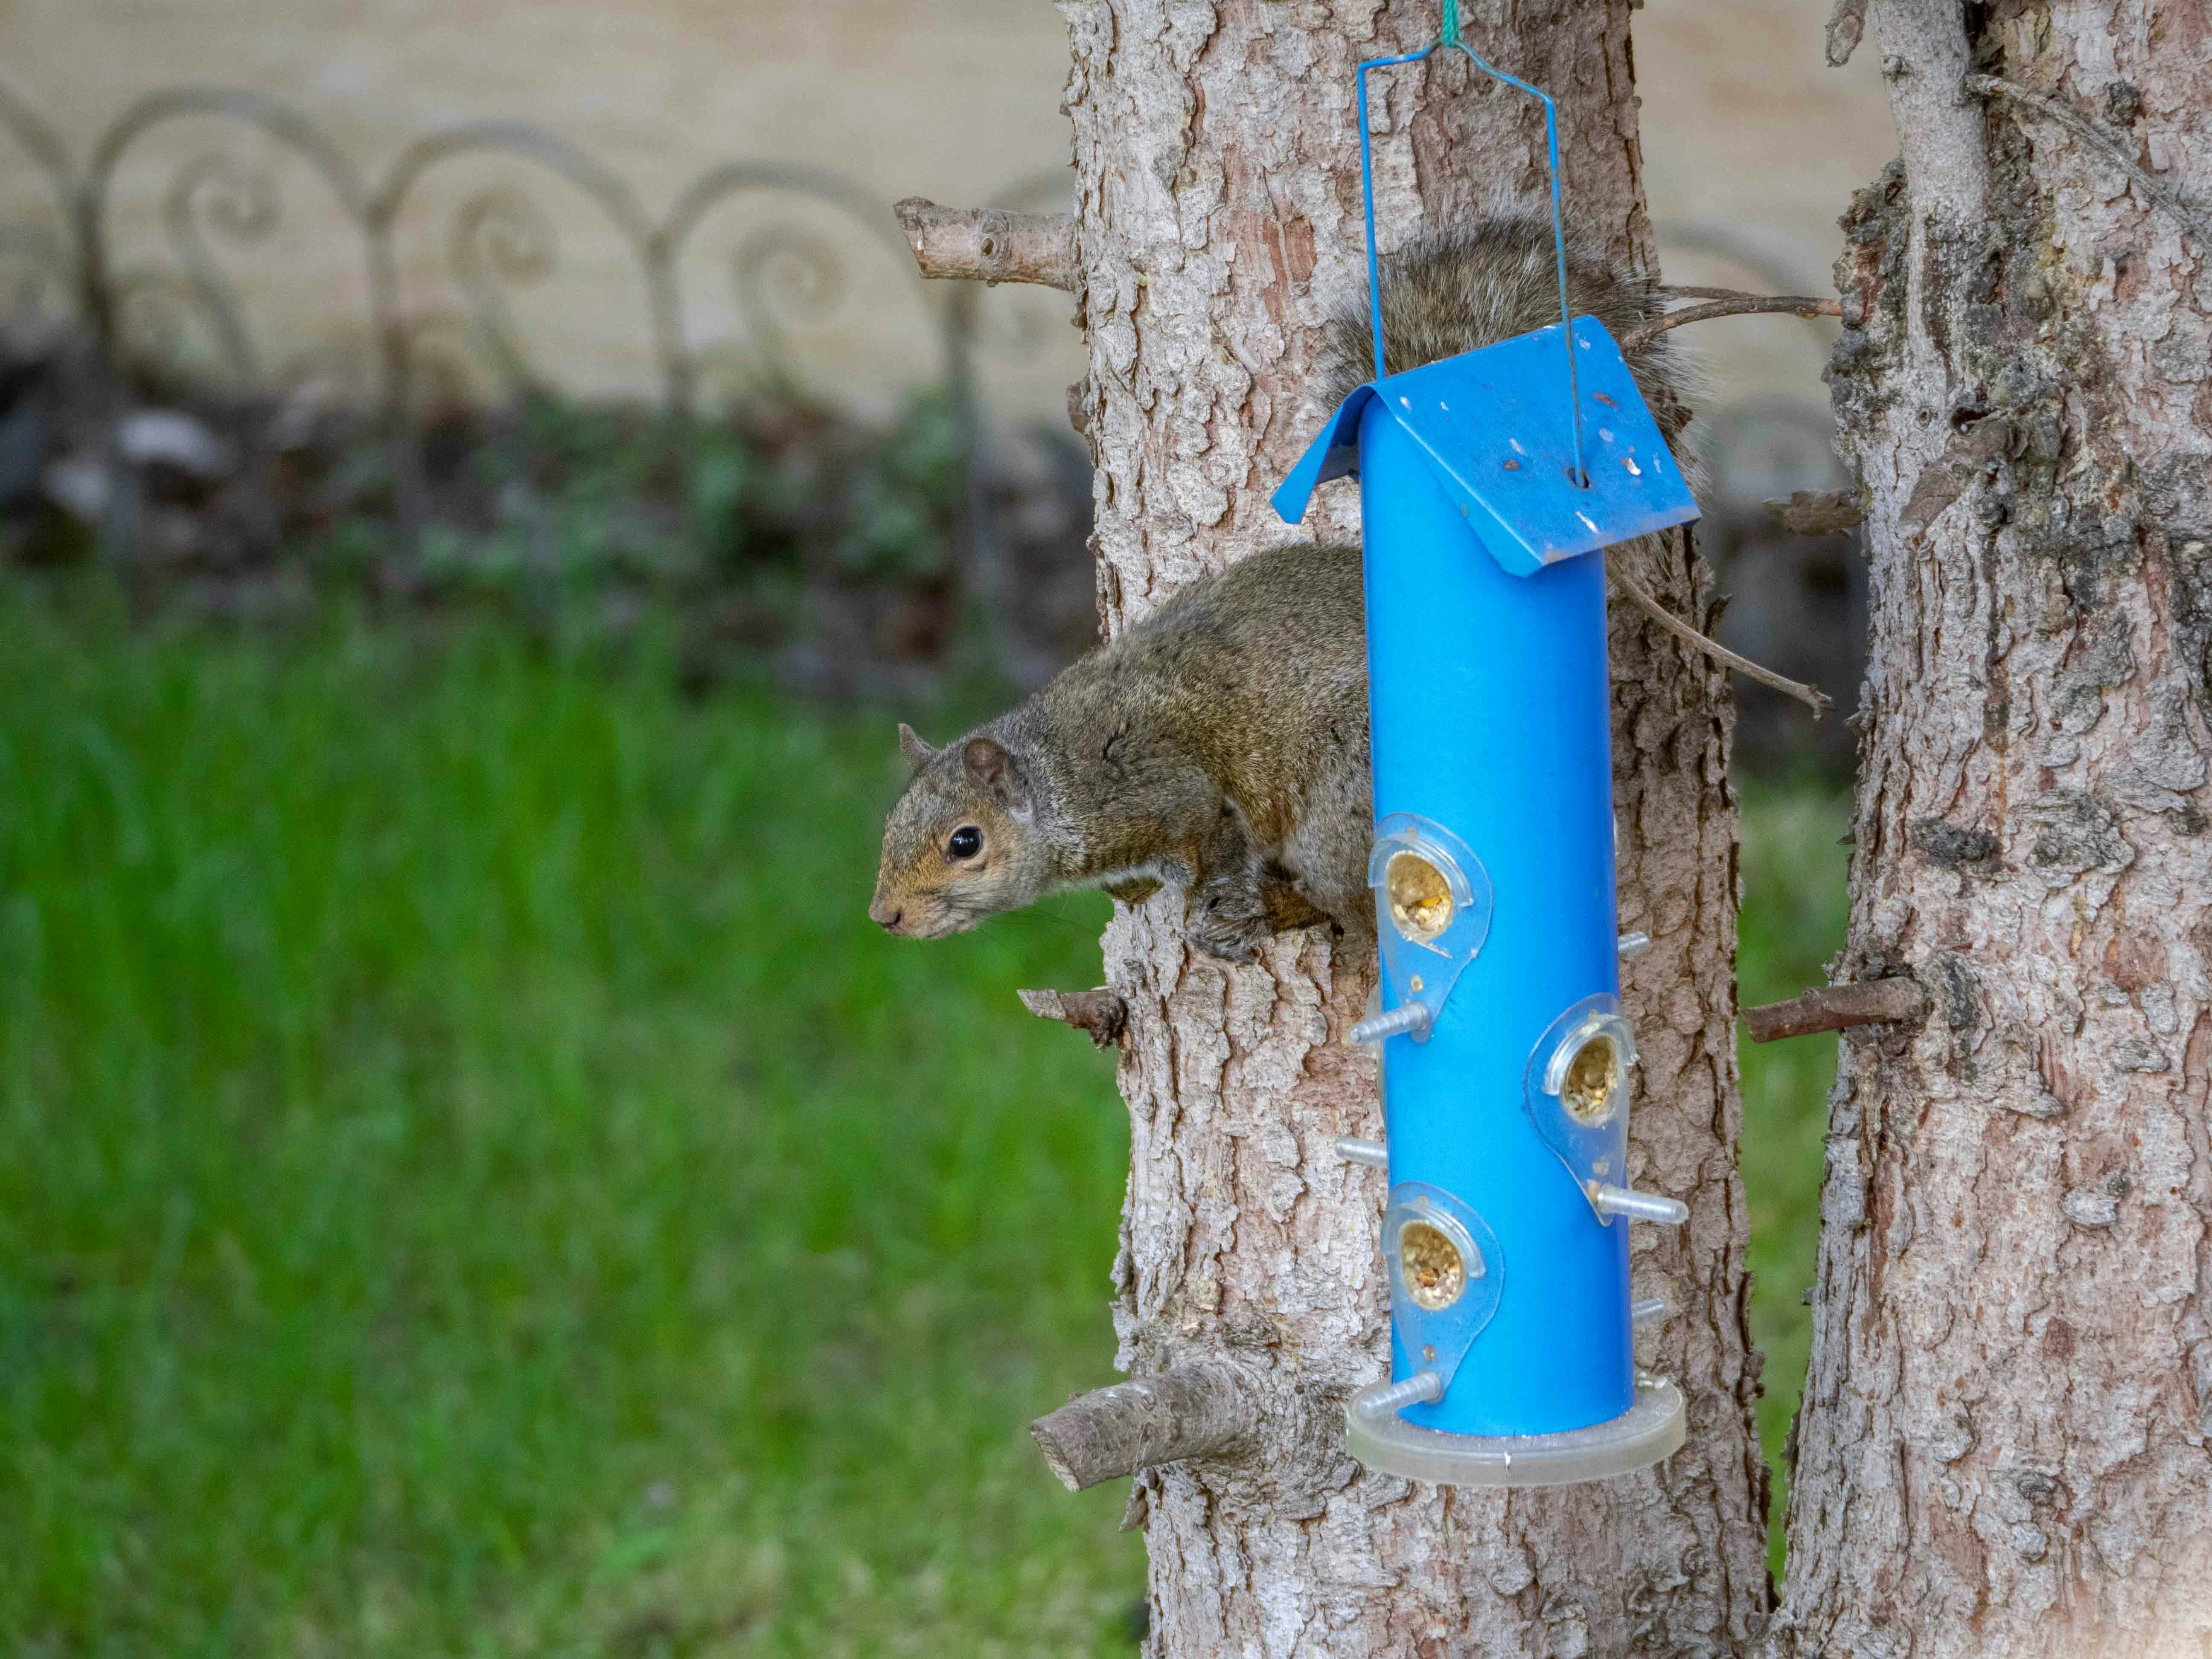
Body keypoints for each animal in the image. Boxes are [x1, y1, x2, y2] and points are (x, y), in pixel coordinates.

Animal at [869, 218, 1695, 963]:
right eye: (888, 828)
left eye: (965, 842)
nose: (884, 917)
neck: (1059, 777)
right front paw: (1137, 892)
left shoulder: (1167, 787)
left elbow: (1213, 844)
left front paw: (1202, 899)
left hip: (1339, 797)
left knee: (1353, 911)